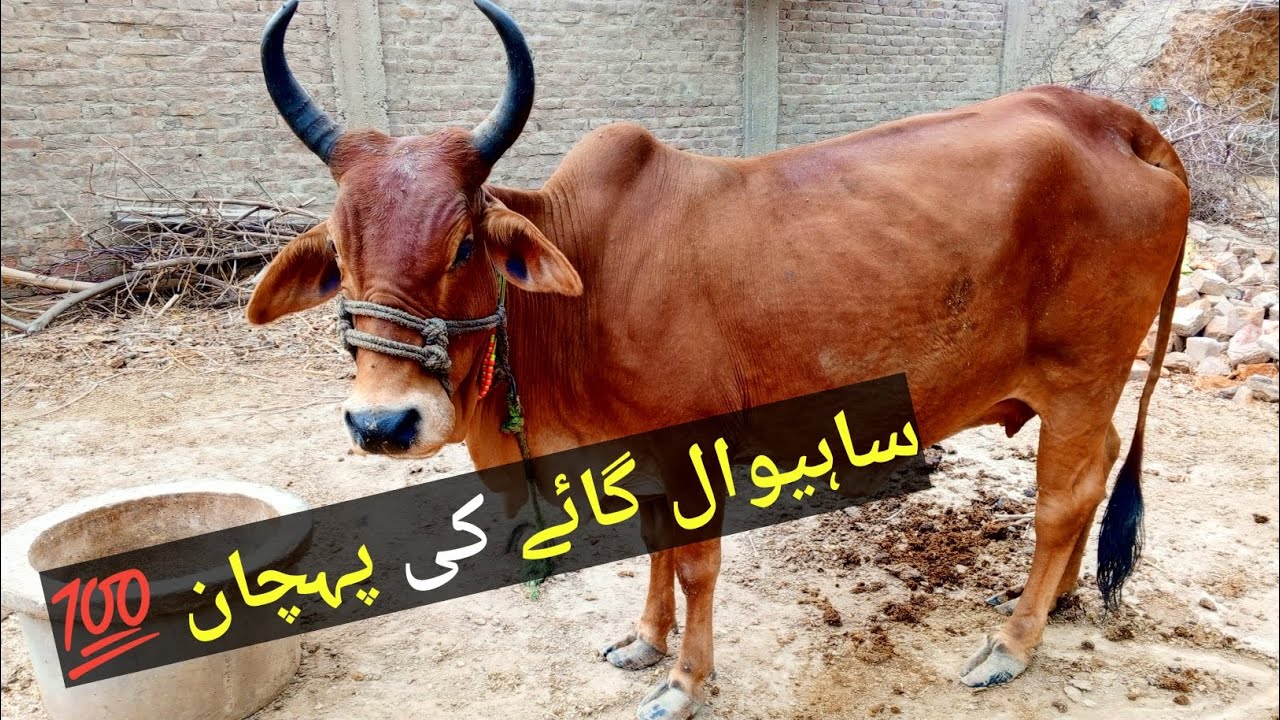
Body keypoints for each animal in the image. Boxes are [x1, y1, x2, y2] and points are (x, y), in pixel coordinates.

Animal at [246, 1, 1189, 718]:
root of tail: (1114, 121)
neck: (589, 284)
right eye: (340, 252)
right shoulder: (643, 455)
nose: (382, 421)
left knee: (1064, 498)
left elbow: (698, 561)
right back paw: (1055, 601)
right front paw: (643, 642)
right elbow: (656, 544)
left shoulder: (692, 445)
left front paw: (685, 682)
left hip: (1082, 374)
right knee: (1100, 469)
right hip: (1085, 390)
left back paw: (1013, 643)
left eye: (464, 245)